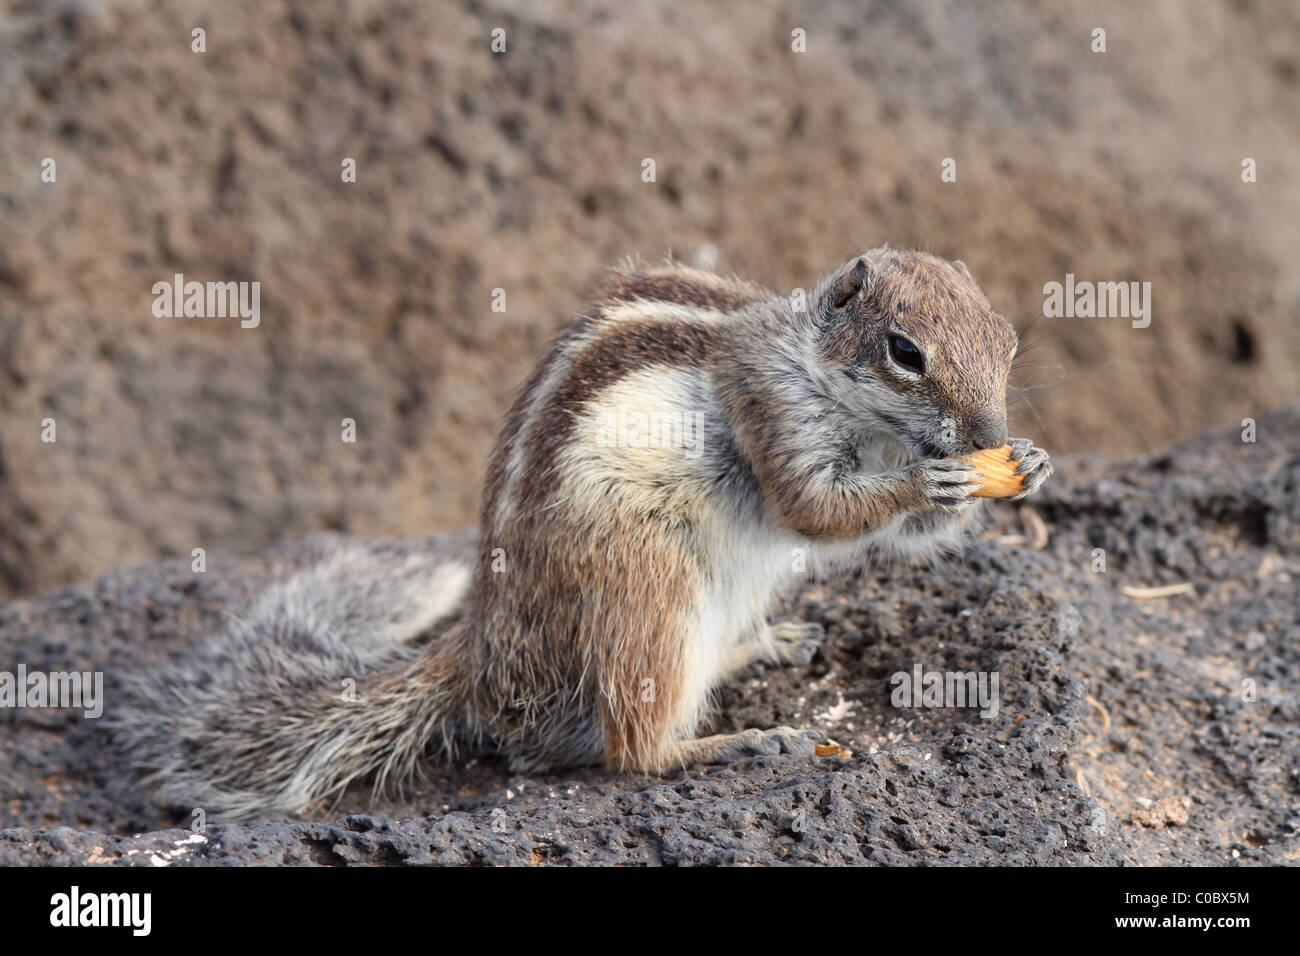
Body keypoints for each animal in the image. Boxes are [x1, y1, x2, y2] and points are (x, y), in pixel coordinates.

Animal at [110, 246, 1052, 820]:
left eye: (1008, 340)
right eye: (905, 351)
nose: (989, 432)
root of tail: (484, 651)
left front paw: (1025, 465)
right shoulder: (770, 410)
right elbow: (812, 508)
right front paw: (929, 482)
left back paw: (761, 646)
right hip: (650, 587)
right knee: (631, 750)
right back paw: (732, 743)